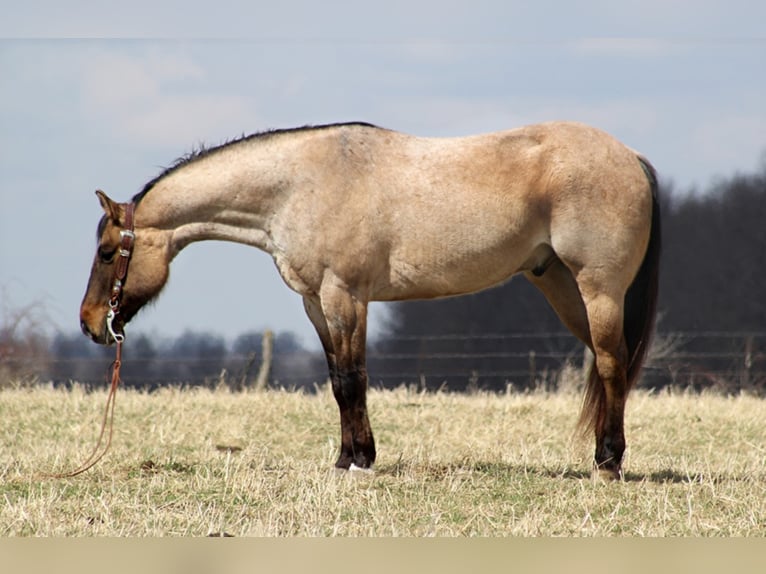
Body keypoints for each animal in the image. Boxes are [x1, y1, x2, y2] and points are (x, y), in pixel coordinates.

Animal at [80, 120, 661, 480]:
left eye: (108, 253)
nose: (89, 324)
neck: (299, 185)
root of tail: (631, 157)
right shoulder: (316, 303)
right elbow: (337, 381)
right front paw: (345, 459)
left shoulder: (346, 297)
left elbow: (354, 378)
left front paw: (362, 462)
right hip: (562, 287)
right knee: (609, 367)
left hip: (598, 290)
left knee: (612, 365)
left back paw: (608, 463)